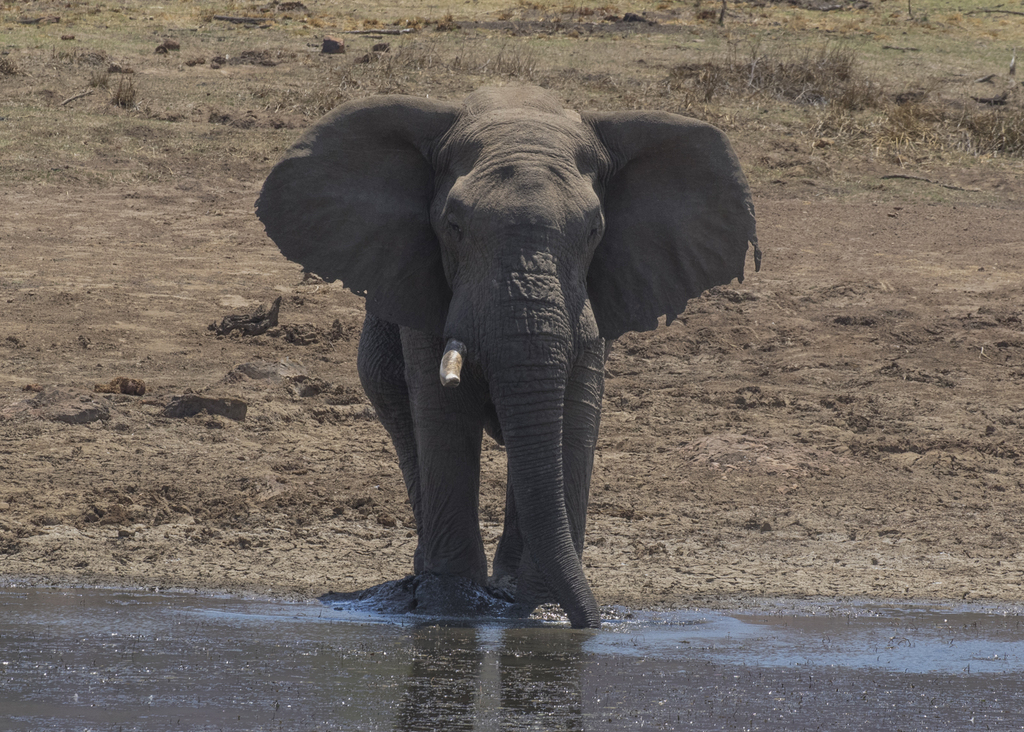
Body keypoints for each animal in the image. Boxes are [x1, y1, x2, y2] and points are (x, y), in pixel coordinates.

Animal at [256, 85, 759, 629]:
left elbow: (575, 414)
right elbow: (443, 411)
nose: (591, 625)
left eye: (594, 231)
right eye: (453, 226)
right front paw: (453, 606)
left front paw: (538, 608)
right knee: (401, 411)